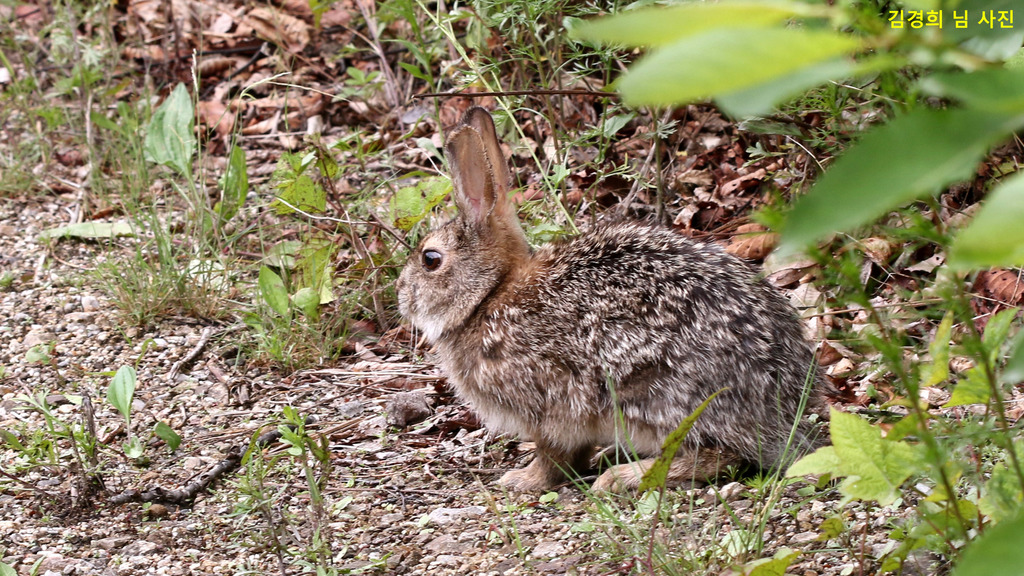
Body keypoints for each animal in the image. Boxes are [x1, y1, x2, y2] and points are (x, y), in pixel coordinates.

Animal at [396, 107, 829, 492]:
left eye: (430, 259)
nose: (401, 295)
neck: (489, 295)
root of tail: (782, 400)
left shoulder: (549, 407)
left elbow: (552, 454)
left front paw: (522, 481)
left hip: (656, 396)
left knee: (716, 454)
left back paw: (622, 477)